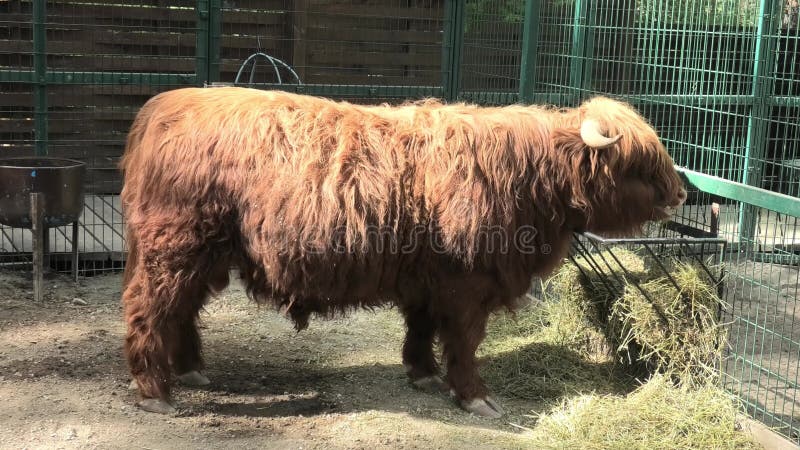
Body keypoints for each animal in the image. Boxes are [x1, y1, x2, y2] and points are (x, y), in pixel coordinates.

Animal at [120, 87, 686, 418]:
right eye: (638, 166)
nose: (681, 194)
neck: (533, 177)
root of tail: (162, 105)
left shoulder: (428, 275)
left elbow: (421, 326)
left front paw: (422, 373)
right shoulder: (467, 282)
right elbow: (463, 340)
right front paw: (475, 395)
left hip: (205, 254)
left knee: (182, 310)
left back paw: (189, 370)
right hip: (176, 246)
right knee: (152, 309)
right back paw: (155, 393)